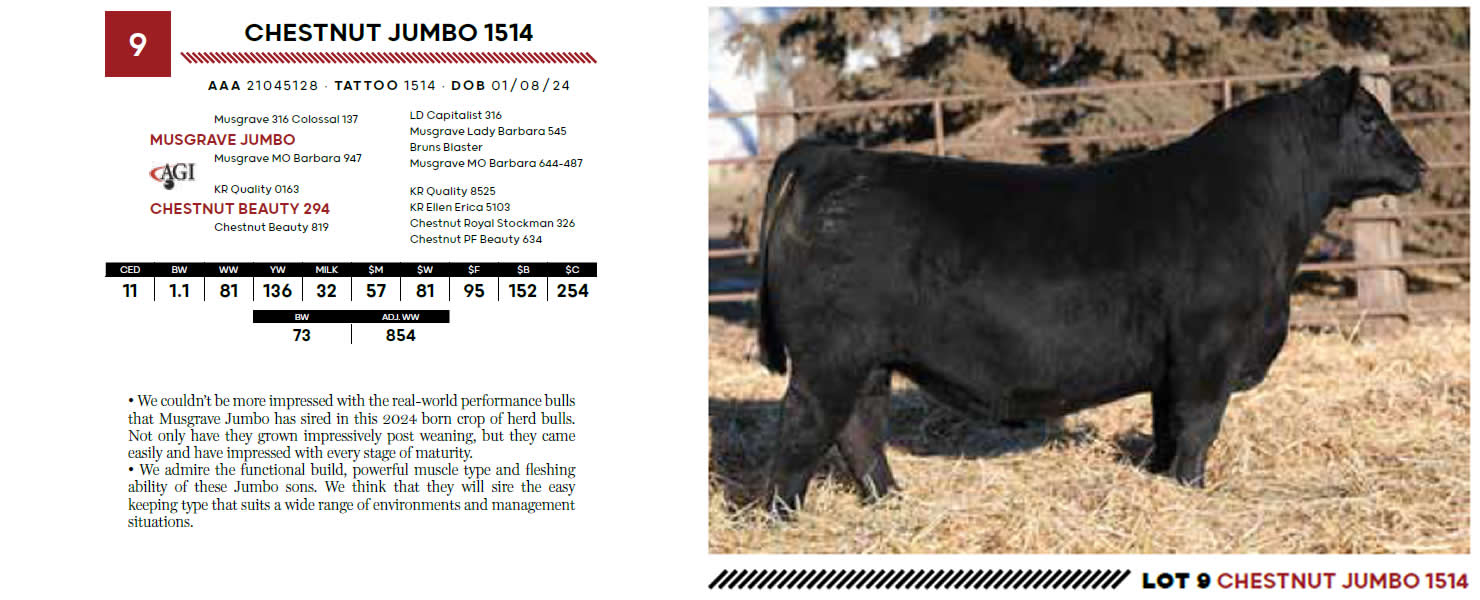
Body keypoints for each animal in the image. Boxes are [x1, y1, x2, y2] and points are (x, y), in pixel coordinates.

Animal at [754, 66, 1426, 514]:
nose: (1417, 166)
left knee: (858, 429)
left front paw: (1161, 480)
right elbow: (1200, 424)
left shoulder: (1171, 361)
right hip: (830, 355)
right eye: (1370, 119)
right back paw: (786, 517)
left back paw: (892, 501)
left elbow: (1167, 425)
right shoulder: (1210, 347)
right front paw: (1191, 489)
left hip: (868, 359)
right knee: (803, 426)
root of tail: (837, 157)